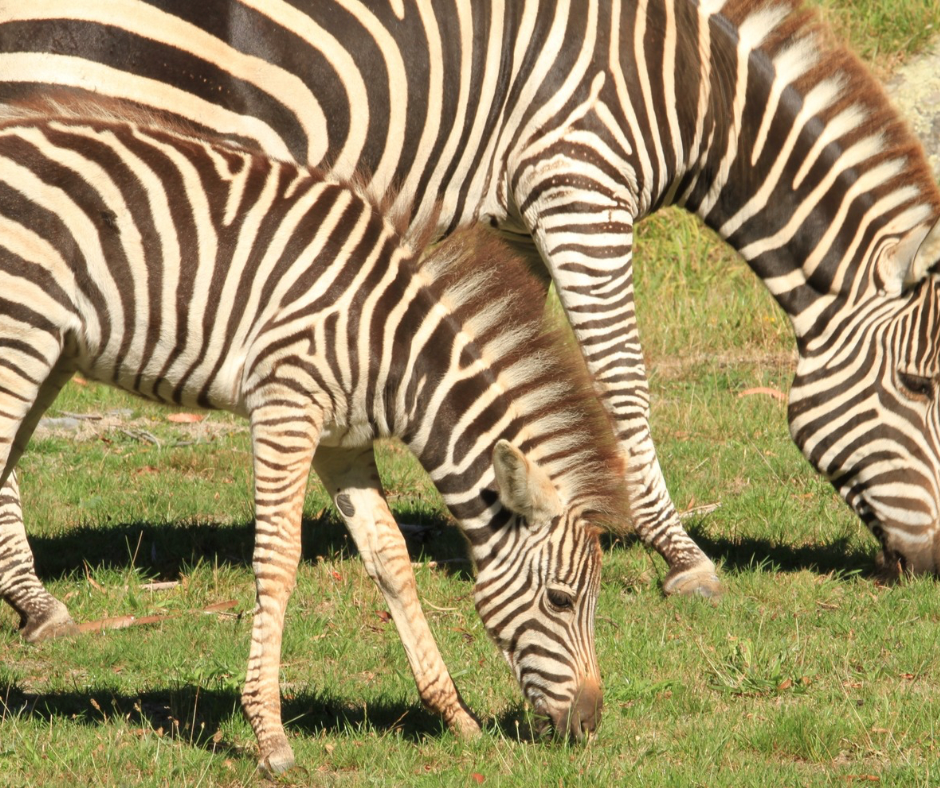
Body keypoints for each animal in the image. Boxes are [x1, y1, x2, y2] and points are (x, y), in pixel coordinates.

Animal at [0, 1, 939, 608]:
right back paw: (34, 601)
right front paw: (681, 555)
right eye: (922, 387)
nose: (930, 566)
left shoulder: (517, 217)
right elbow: (622, 380)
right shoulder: (580, 182)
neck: (686, 82)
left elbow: (517, 361)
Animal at [0, 99, 626, 772]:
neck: (389, 346)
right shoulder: (286, 405)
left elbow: (392, 557)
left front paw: (455, 715)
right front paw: (270, 735)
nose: (590, 723)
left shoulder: (341, 440)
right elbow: (278, 558)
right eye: (561, 600)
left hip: (51, 353)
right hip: (22, 336)